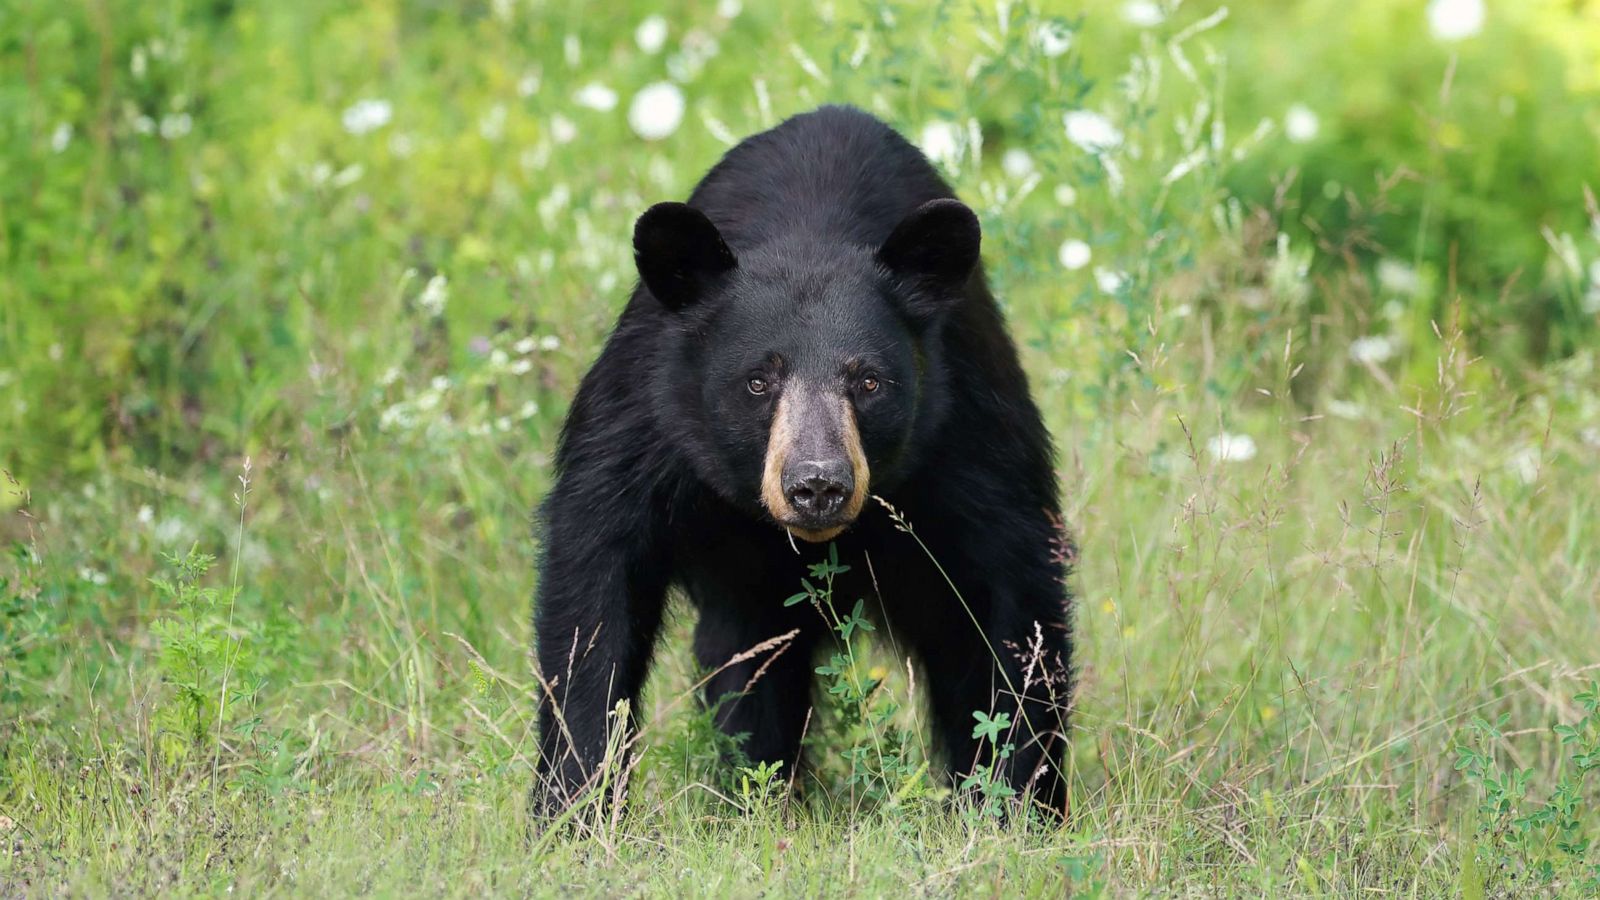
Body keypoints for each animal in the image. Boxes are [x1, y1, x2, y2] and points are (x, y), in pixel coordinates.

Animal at [533, 105, 1073, 816]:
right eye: (758, 381)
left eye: (870, 382)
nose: (818, 486)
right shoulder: (645, 422)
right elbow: (594, 598)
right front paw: (571, 807)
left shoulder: (966, 429)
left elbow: (1013, 602)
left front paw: (1018, 804)